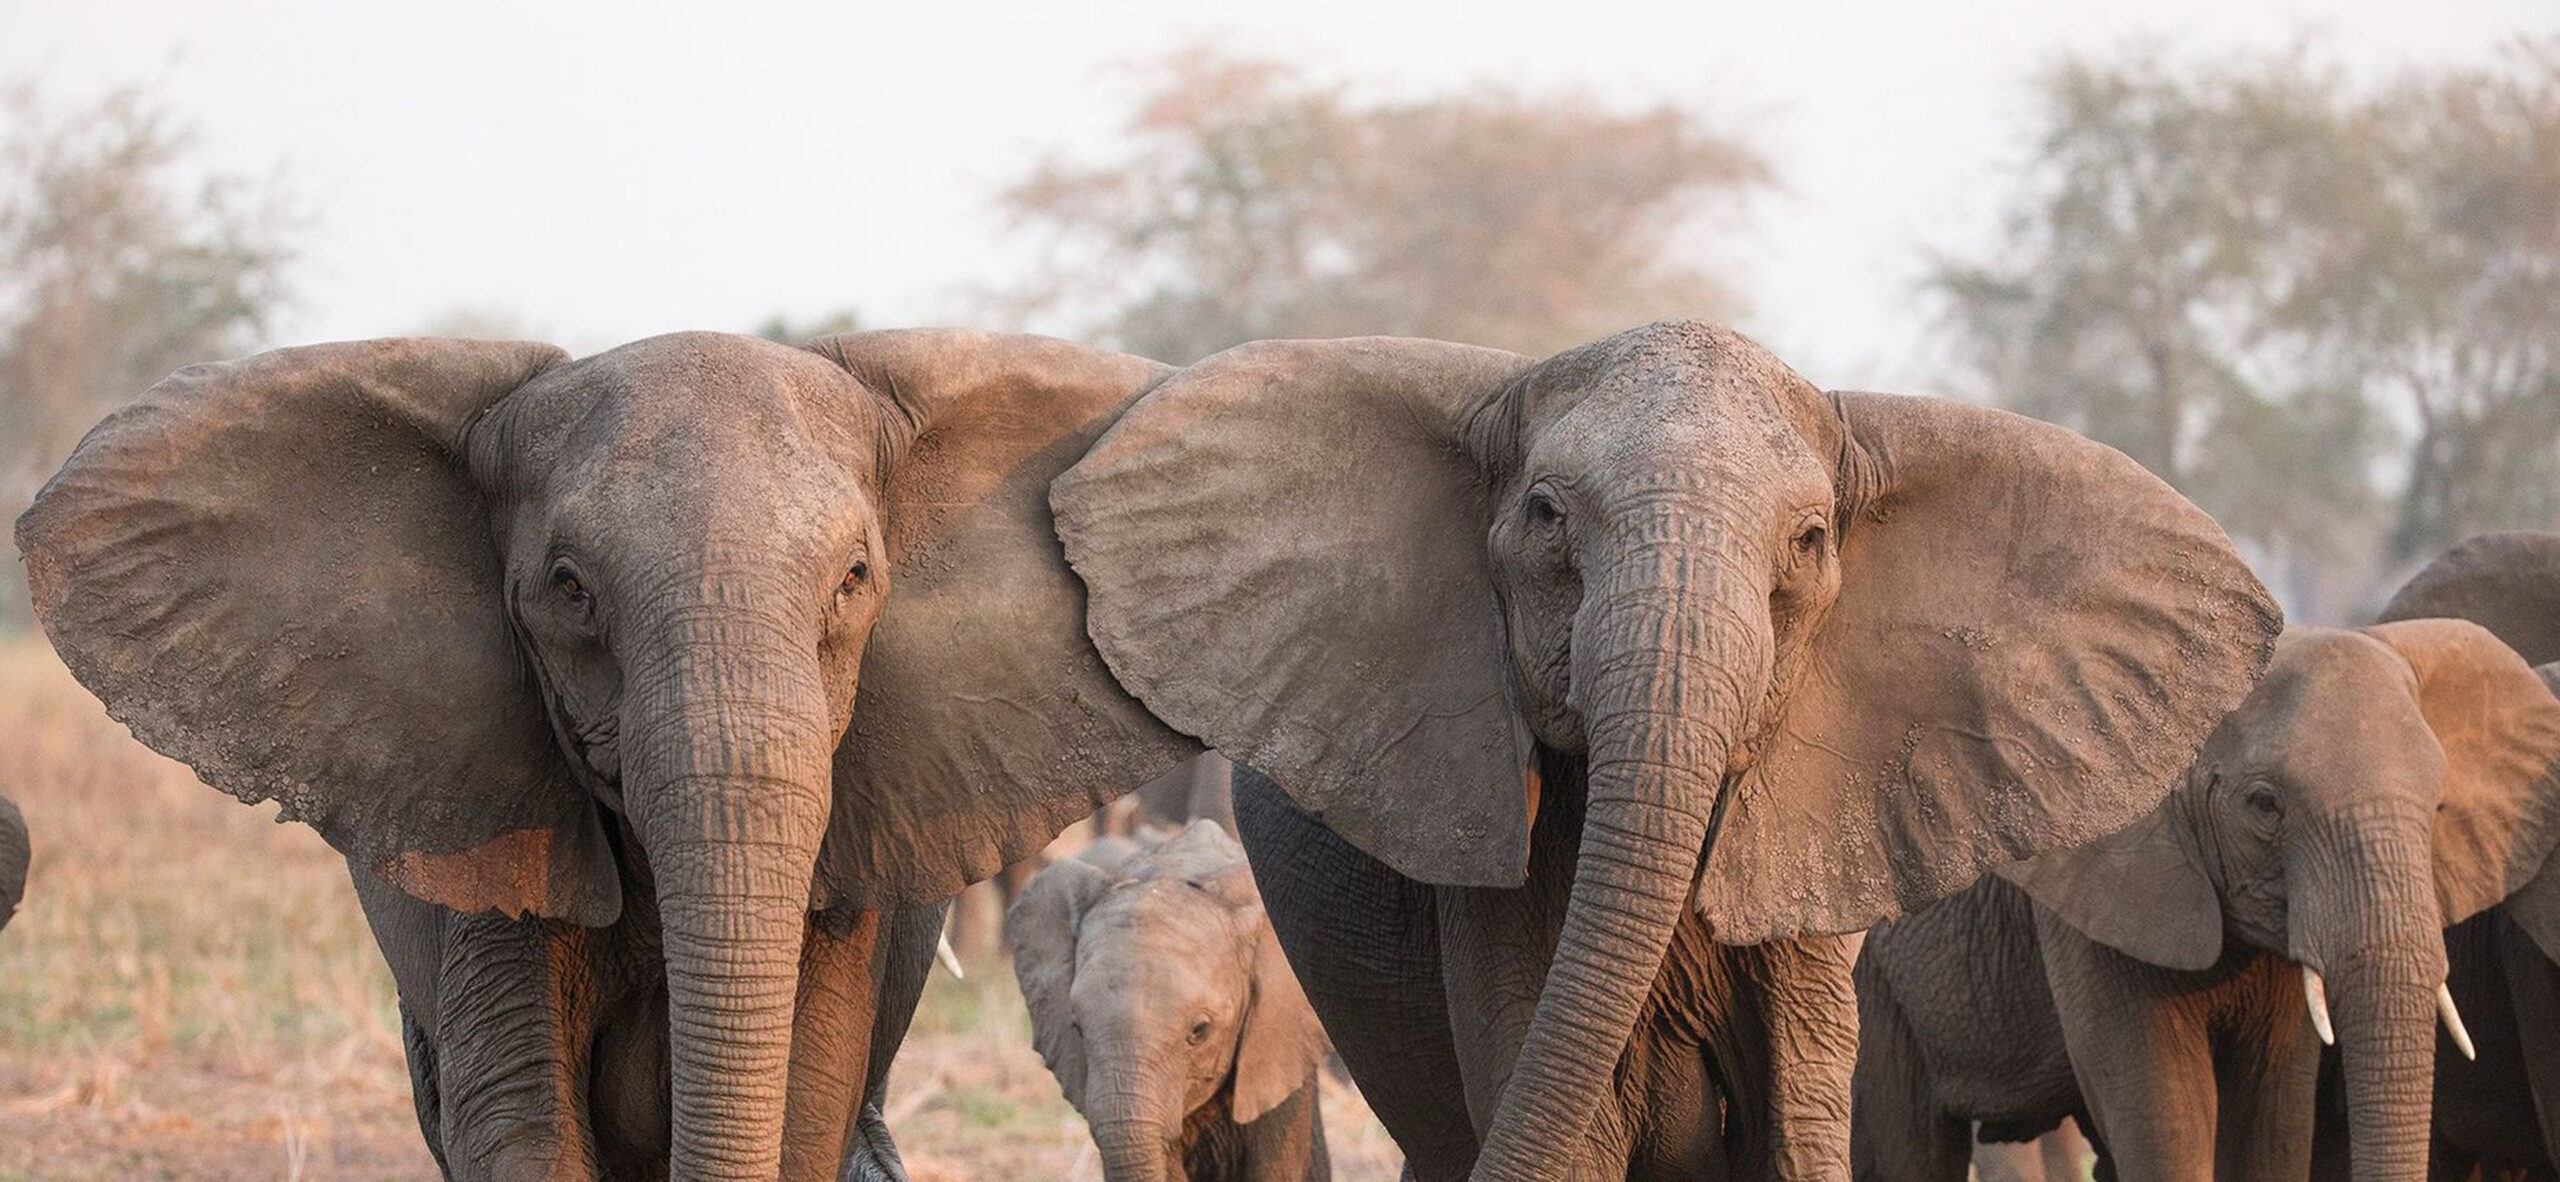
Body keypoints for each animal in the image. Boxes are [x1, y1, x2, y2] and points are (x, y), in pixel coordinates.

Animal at [1853, 619, 2560, 1182]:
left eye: (2439, 808)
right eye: (2265, 806)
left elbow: (2274, 1118)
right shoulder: (2098, 887)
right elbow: (2168, 1115)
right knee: (1897, 1146)